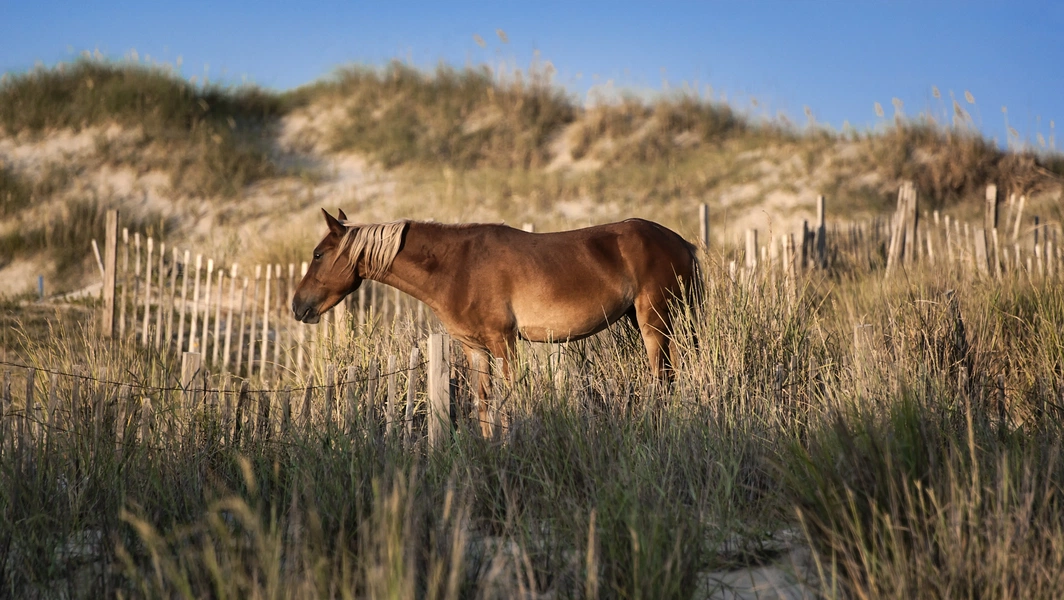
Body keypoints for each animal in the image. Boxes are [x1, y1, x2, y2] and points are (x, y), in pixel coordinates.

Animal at [292, 209, 701, 436]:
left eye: (318, 254)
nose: (298, 306)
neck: (458, 266)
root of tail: (680, 241)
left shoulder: (504, 342)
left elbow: (509, 401)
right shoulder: (476, 349)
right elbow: (485, 404)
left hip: (654, 321)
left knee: (662, 376)